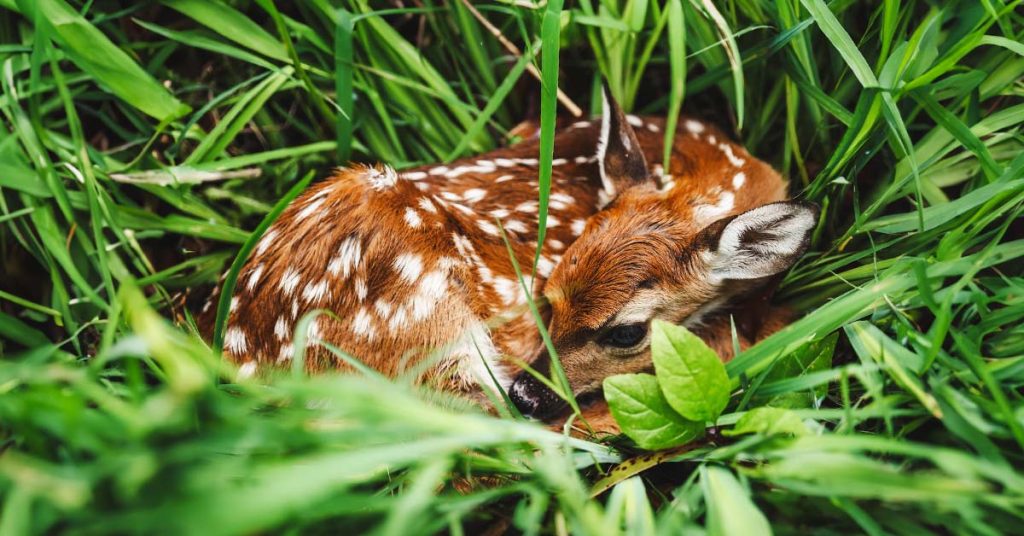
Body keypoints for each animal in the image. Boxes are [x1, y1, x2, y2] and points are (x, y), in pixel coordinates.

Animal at [200, 84, 817, 432]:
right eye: (548, 296)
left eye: (626, 332)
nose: (530, 391)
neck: (711, 172)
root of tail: (245, 368)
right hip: (426, 319)